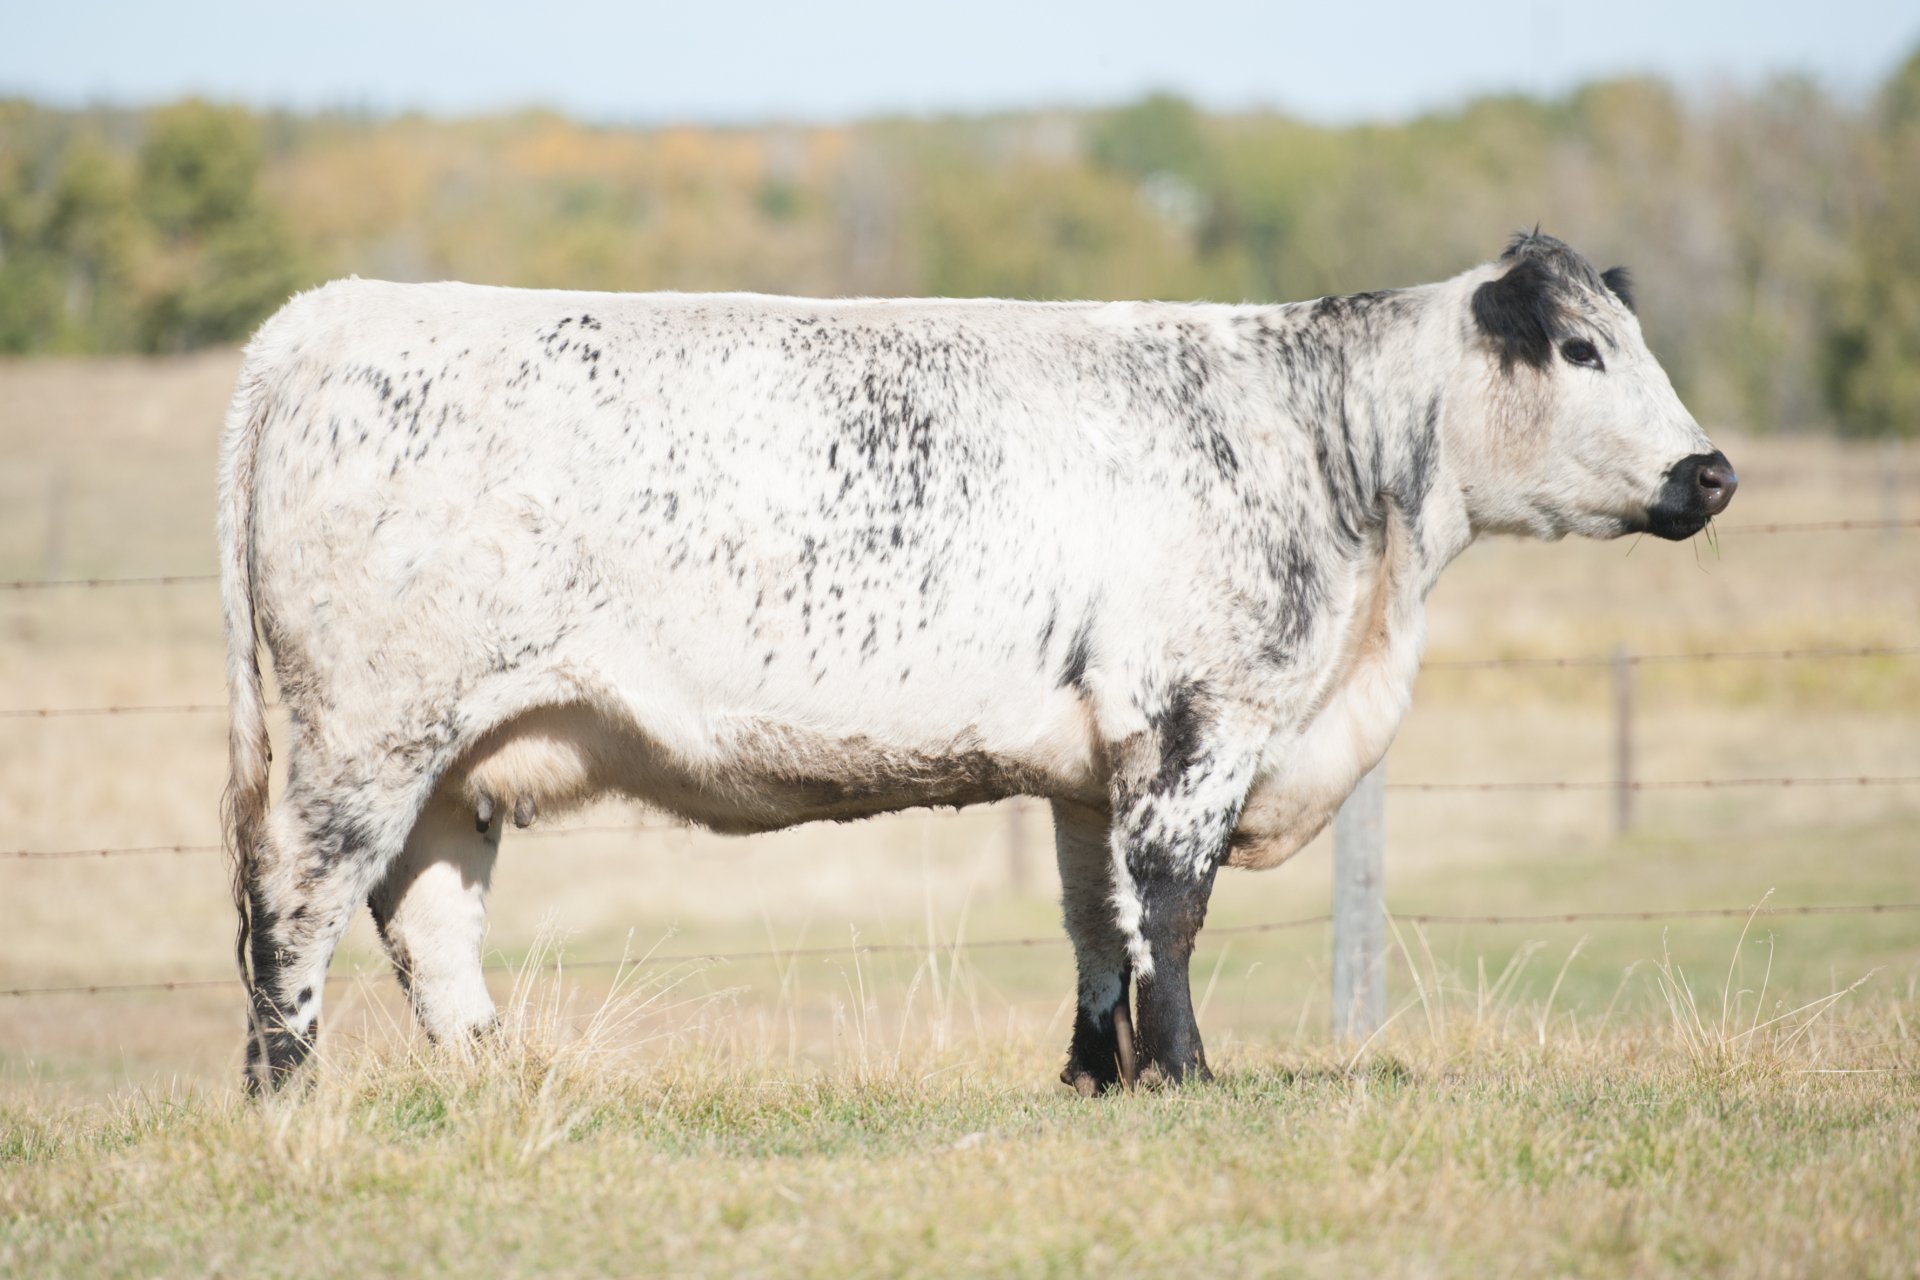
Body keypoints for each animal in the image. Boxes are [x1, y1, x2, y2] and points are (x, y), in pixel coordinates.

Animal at [220, 231, 1736, 1093]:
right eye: (1583, 348)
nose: (1710, 471)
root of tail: (323, 314)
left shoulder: (1093, 759)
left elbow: (1098, 921)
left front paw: (1095, 1078)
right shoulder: (1197, 722)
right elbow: (1173, 906)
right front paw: (1189, 1075)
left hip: (453, 754)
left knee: (424, 913)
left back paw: (495, 1081)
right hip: (367, 728)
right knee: (296, 899)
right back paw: (286, 1089)